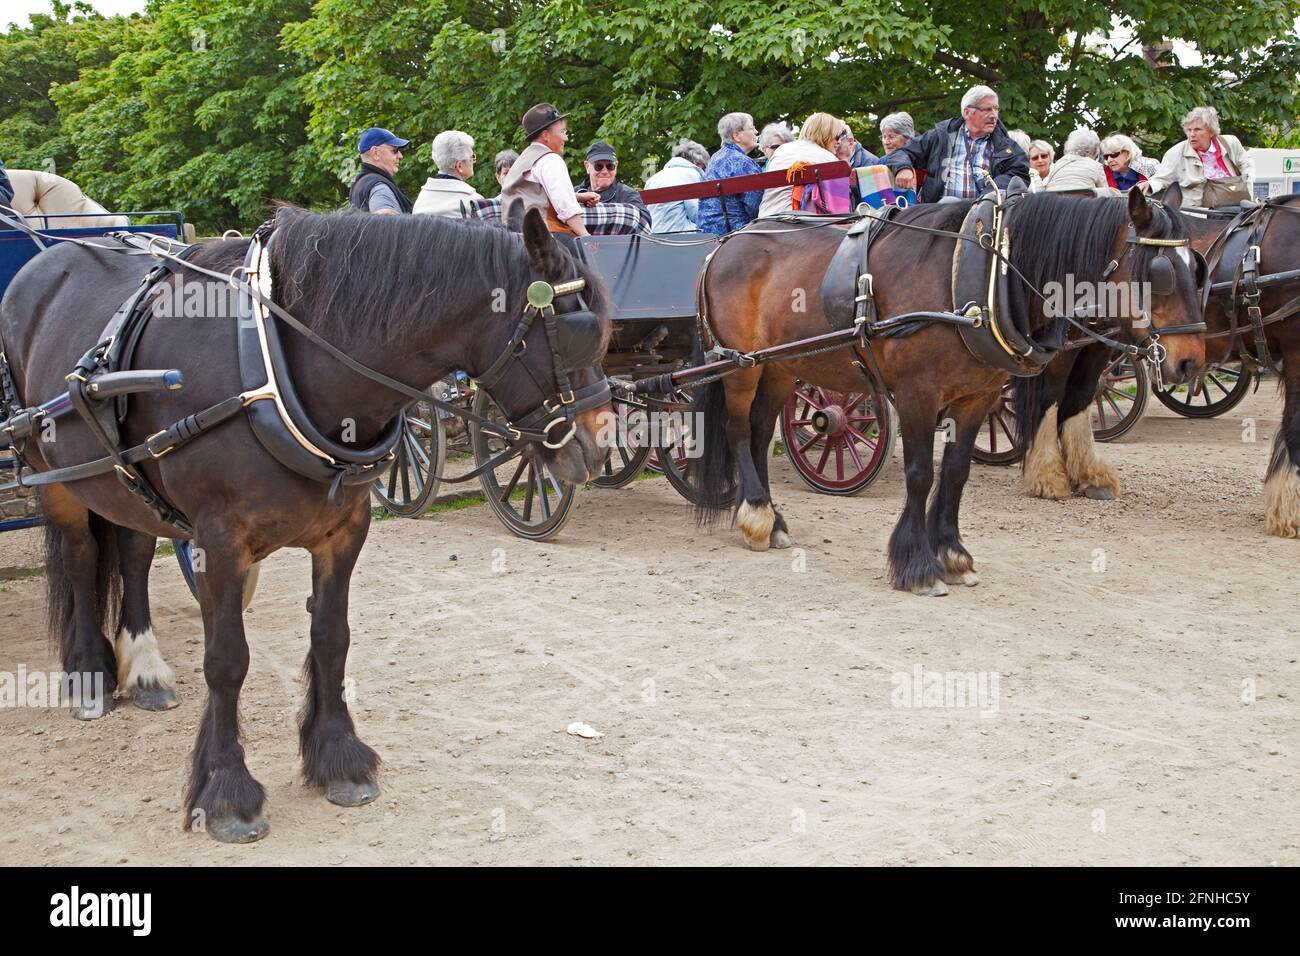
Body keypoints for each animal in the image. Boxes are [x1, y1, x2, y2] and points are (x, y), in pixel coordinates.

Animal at [0, 206, 613, 842]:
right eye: (577, 328)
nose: (600, 446)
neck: (274, 363)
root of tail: (47, 255)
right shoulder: (219, 541)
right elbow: (226, 660)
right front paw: (227, 791)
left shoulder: (344, 531)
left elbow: (331, 639)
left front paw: (338, 757)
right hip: (55, 473)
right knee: (80, 558)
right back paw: (88, 673)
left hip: (122, 480)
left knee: (134, 553)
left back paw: (144, 669)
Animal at [689, 187, 1205, 596]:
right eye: (1160, 271)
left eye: (1196, 267)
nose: (1192, 361)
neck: (984, 275)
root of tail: (724, 246)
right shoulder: (916, 393)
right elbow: (920, 474)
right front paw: (917, 566)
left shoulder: (976, 396)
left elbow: (955, 473)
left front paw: (953, 555)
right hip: (739, 365)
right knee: (738, 431)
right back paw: (756, 515)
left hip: (780, 366)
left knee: (760, 432)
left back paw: (768, 516)